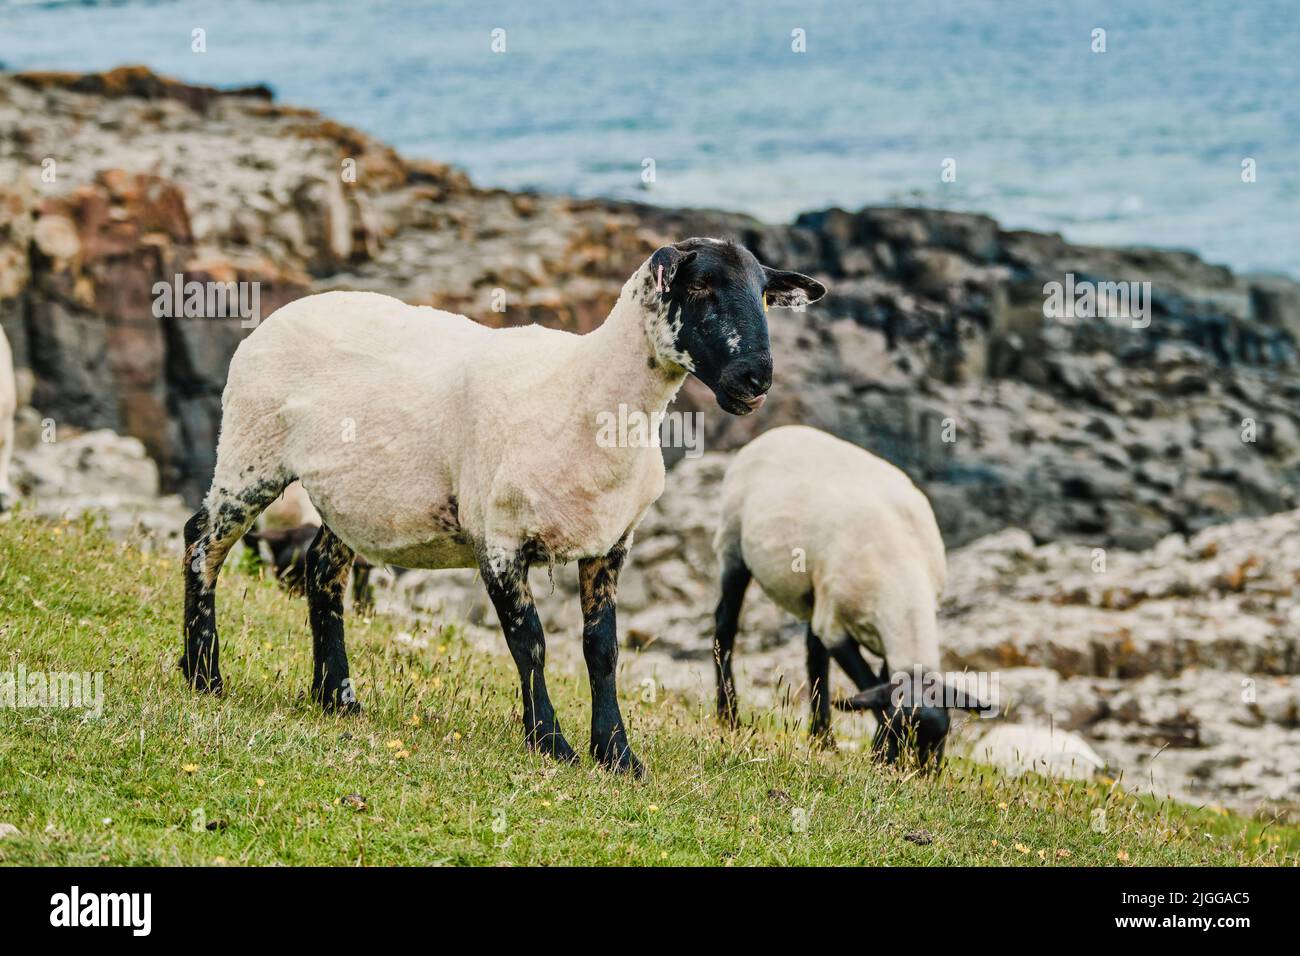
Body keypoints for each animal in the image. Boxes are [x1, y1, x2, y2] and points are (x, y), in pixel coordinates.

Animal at [181, 239, 826, 774]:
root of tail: (279, 316)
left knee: (321, 571)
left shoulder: (610, 545)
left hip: (353, 498)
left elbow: (603, 651)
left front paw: (617, 754)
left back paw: (335, 697)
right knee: (201, 541)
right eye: (700, 286)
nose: (756, 378)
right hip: (252, 449)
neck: (583, 393)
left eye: (763, 294)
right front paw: (551, 742)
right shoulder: (498, 541)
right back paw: (203, 675)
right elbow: (530, 642)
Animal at [712, 424, 991, 767]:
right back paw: (729, 716)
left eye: (942, 738)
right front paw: (878, 751)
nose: (913, 774)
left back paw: (822, 738)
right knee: (725, 624)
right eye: (898, 732)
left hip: (814, 594)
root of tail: (780, 430)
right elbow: (869, 686)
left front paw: (871, 750)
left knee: (813, 653)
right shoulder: (836, 627)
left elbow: (875, 685)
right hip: (732, 542)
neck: (901, 571)